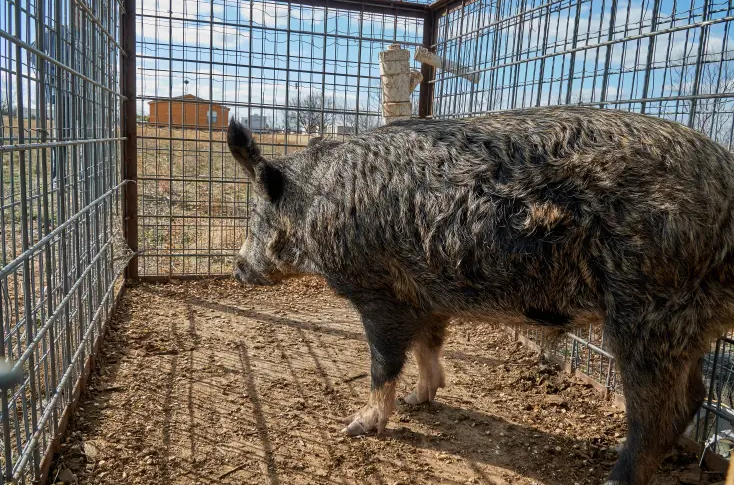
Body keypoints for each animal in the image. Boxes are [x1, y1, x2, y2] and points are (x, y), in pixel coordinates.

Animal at [227, 106, 734, 485]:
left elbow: (382, 364)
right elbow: (428, 346)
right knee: (692, 396)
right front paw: (417, 399)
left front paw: (357, 426)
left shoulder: (380, 293)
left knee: (660, 413)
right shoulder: (427, 297)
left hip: (649, 311)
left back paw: (613, 476)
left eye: (255, 211)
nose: (237, 268)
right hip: (684, 324)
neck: (313, 208)